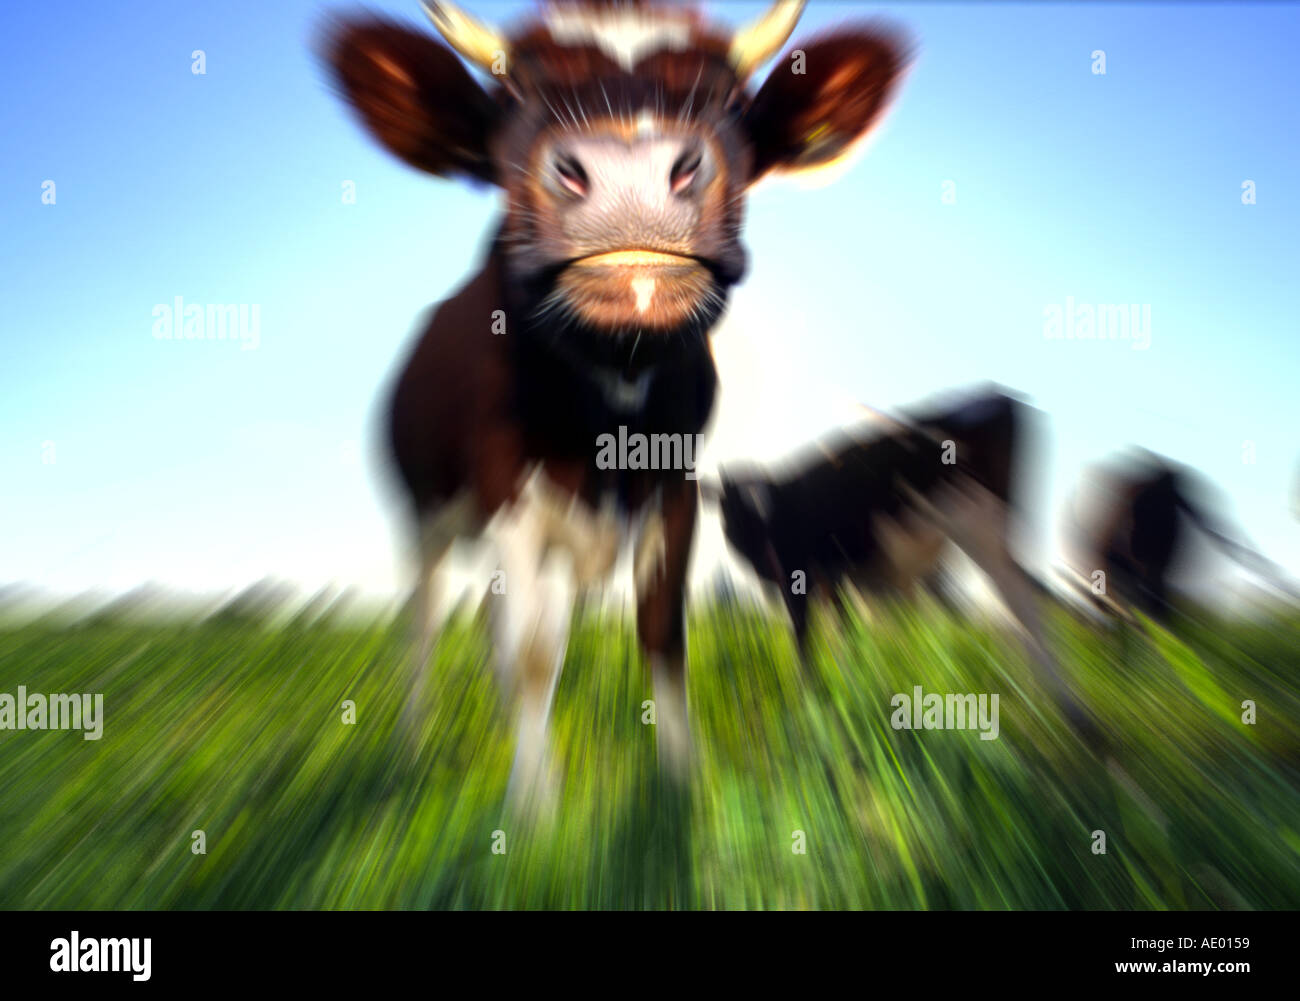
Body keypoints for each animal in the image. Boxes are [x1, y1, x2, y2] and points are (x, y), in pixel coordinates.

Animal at [323, 0, 910, 807]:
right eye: (510, 101)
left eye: (731, 103)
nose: (630, 179)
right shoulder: (509, 491)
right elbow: (534, 651)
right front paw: (535, 809)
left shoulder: (677, 488)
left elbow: (662, 631)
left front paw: (681, 788)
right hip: (423, 514)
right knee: (427, 622)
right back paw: (414, 750)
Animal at [708, 388, 1094, 733]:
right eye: (735, 517)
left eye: (764, 519)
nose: (766, 565)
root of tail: (998, 394)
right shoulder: (842, 579)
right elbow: (849, 631)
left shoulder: (806, 580)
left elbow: (807, 639)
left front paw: (814, 701)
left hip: (979, 526)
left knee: (1021, 600)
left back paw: (1063, 706)